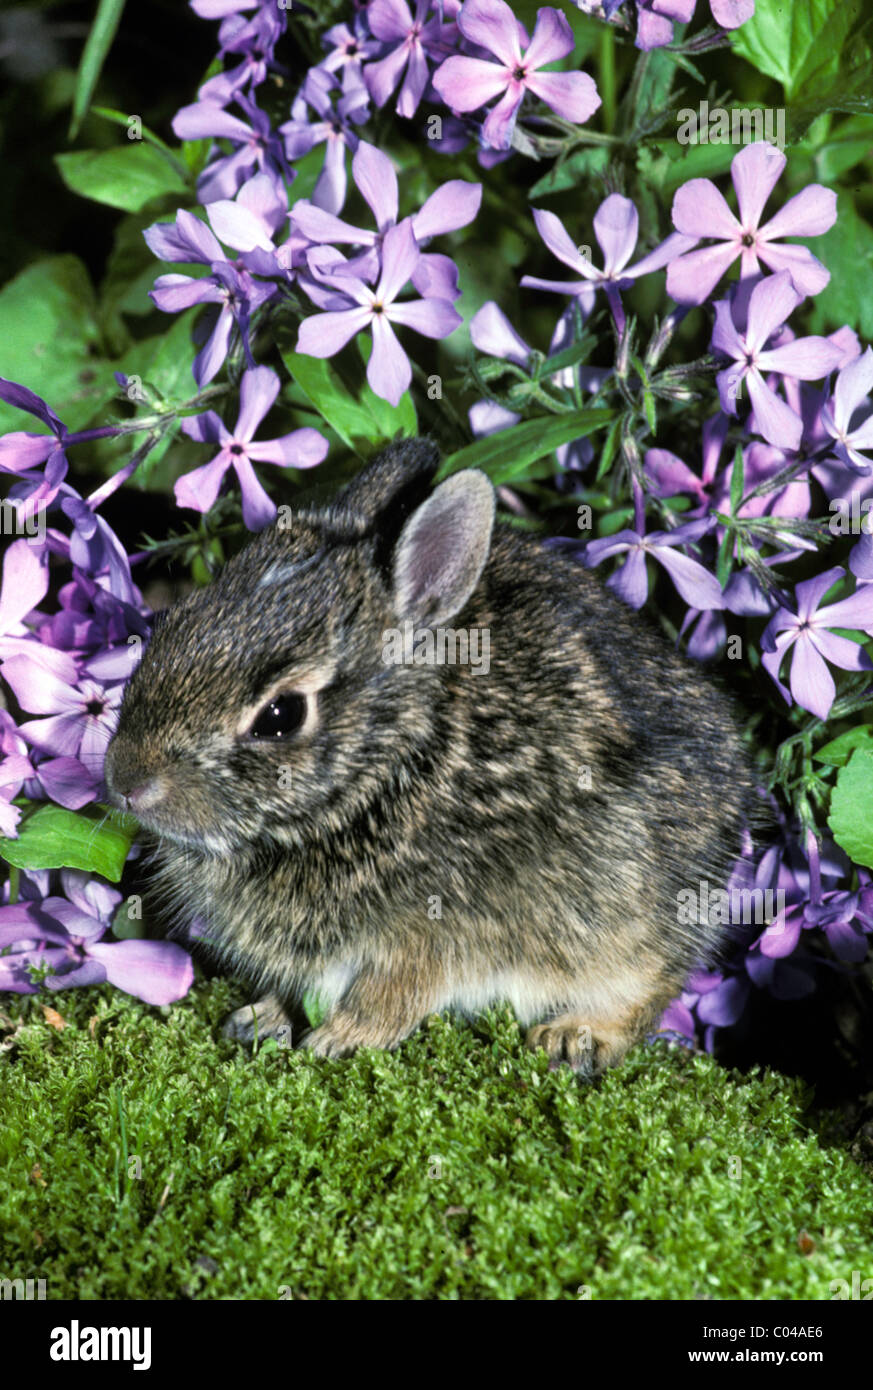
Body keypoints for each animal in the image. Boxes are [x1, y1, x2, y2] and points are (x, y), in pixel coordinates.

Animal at [104, 437, 758, 1077]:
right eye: (173, 621)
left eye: (280, 714)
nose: (127, 781)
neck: (393, 761)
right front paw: (264, 1018)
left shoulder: (434, 930)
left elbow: (396, 992)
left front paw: (341, 1039)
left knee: (651, 981)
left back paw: (575, 1038)